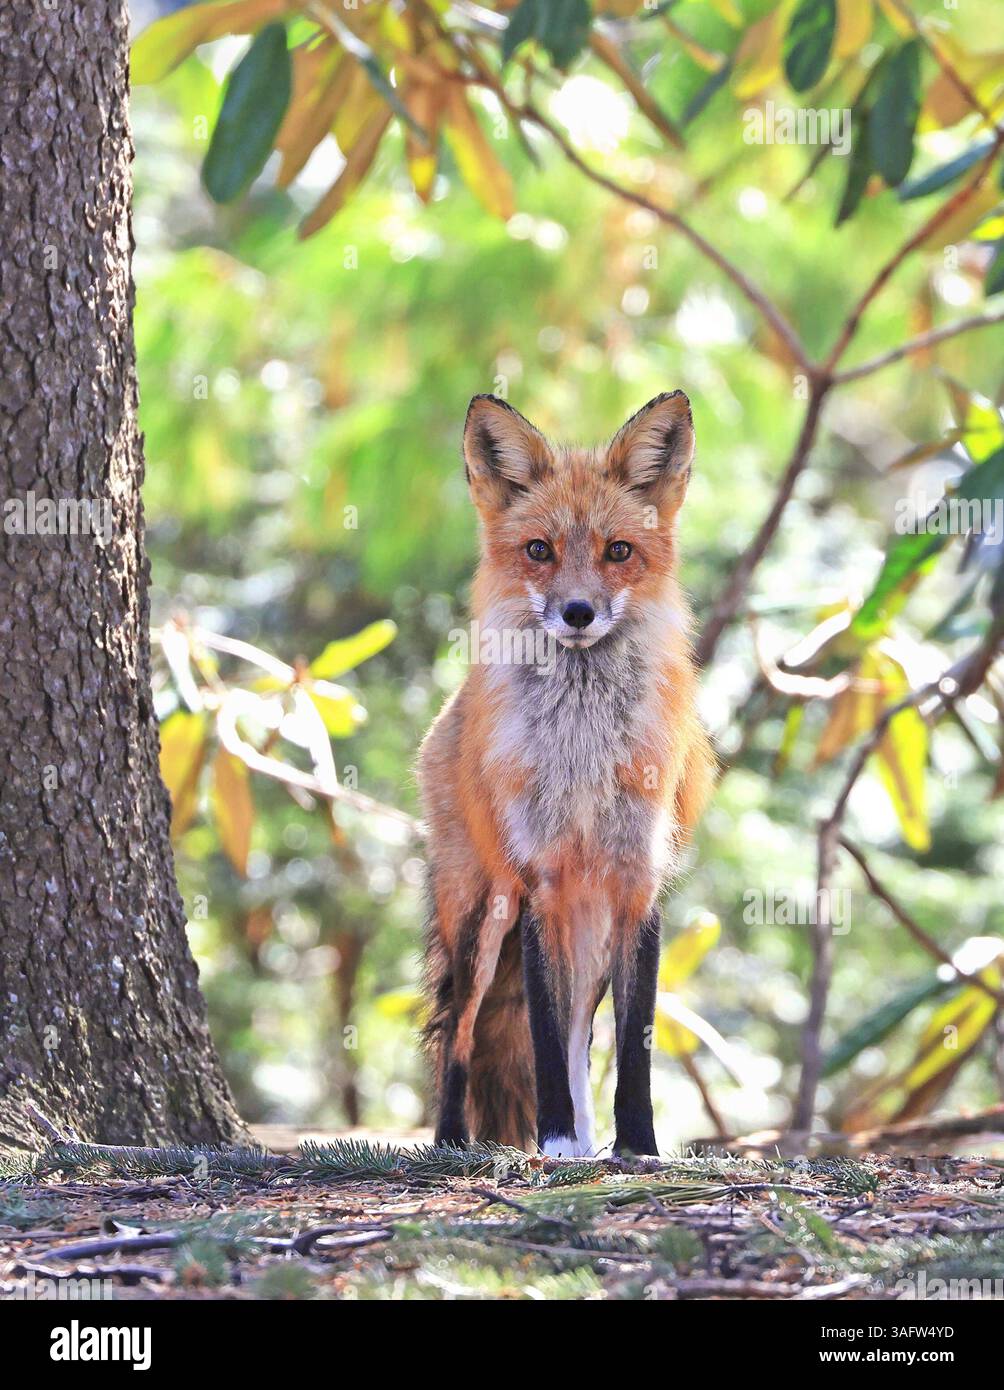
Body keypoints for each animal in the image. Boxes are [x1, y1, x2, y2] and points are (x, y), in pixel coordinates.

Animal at [418, 391, 715, 1158]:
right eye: (539, 550)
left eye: (618, 551)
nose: (578, 613)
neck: (581, 755)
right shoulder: (539, 886)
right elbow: (546, 1039)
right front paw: (552, 1142)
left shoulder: (638, 887)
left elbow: (631, 1045)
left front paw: (636, 1146)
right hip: (482, 919)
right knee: (459, 1032)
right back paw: (455, 1139)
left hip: (588, 928)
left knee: (583, 1028)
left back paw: (585, 1137)